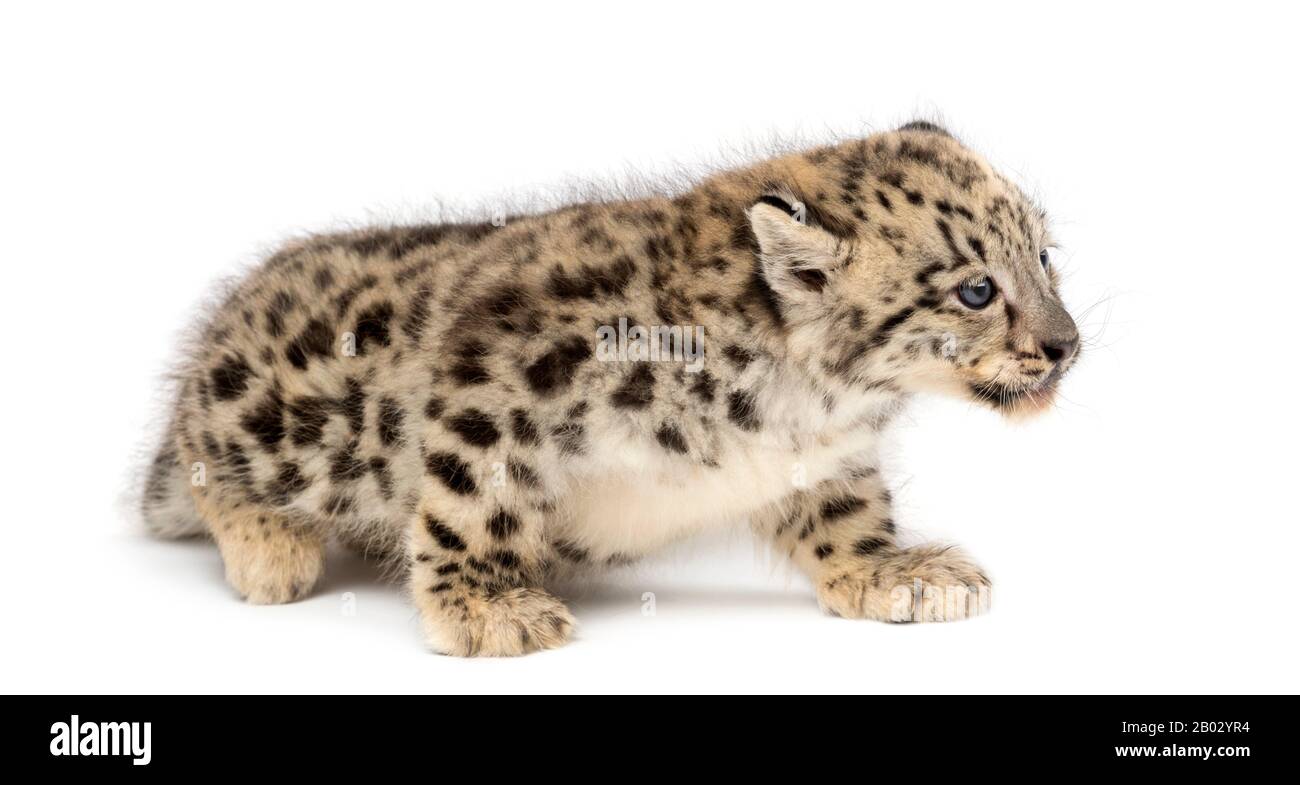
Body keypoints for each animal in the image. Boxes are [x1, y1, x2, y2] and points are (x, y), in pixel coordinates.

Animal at [140, 120, 1079, 656]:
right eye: (976, 290)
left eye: (1045, 255)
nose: (1067, 344)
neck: (804, 401)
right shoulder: (494, 371)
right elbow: (475, 499)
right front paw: (486, 609)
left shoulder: (823, 457)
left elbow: (845, 508)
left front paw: (894, 570)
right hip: (276, 429)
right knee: (200, 456)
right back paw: (269, 545)